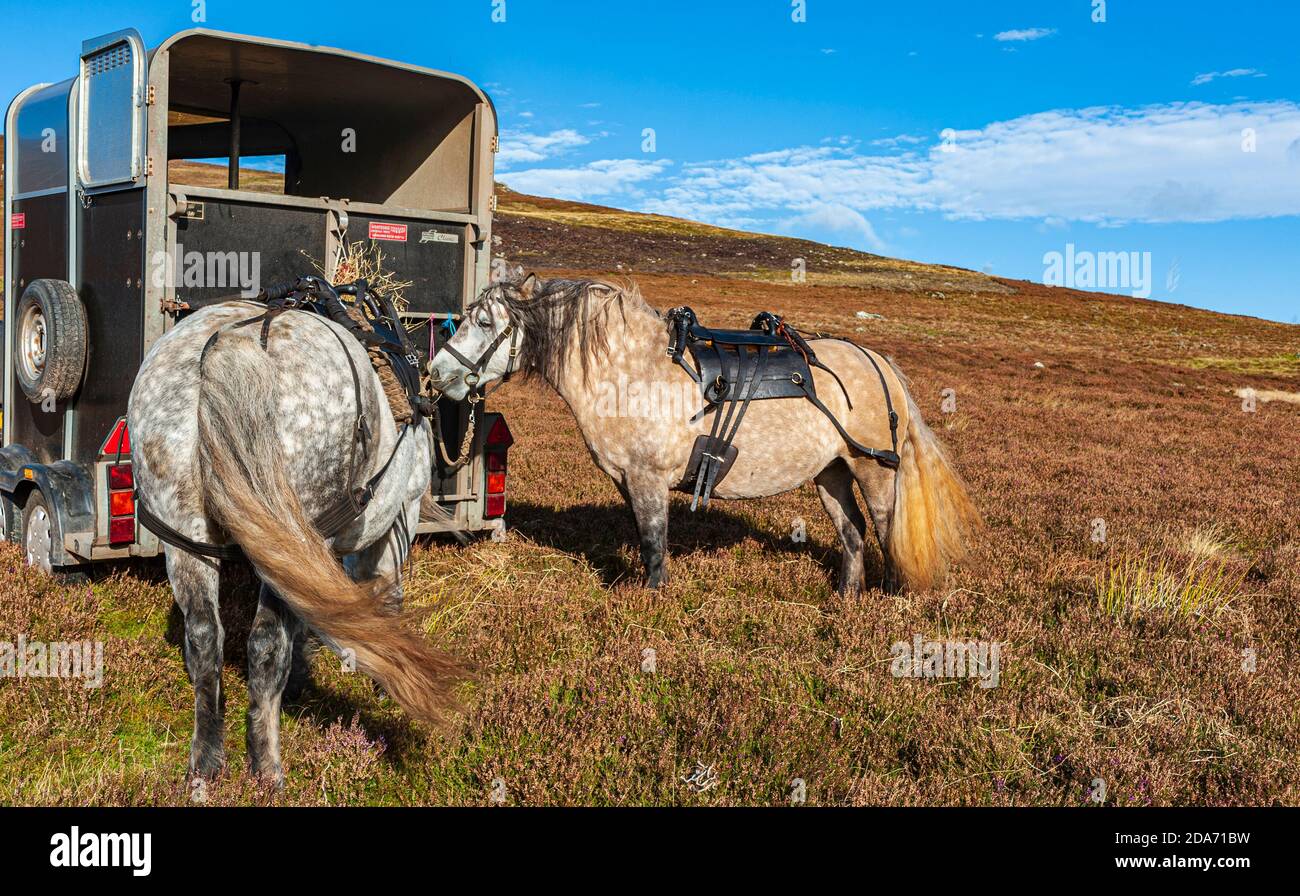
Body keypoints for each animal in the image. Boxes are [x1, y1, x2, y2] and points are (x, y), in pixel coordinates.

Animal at [128, 300, 462, 785]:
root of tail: (228, 346)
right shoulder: (400, 518)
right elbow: (384, 595)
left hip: (187, 536)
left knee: (205, 635)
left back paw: (206, 761)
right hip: (290, 537)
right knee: (266, 643)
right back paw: (267, 766)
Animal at [428, 275, 980, 593]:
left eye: (484, 322)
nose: (435, 374)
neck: (628, 370)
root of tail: (878, 363)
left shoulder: (648, 479)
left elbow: (654, 544)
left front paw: (652, 599)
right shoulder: (631, 483)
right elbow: (646, 538)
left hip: (872, 467)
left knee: (886, 529)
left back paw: (893, 597)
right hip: (832, 472)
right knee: (853, 532)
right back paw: (846, 596)